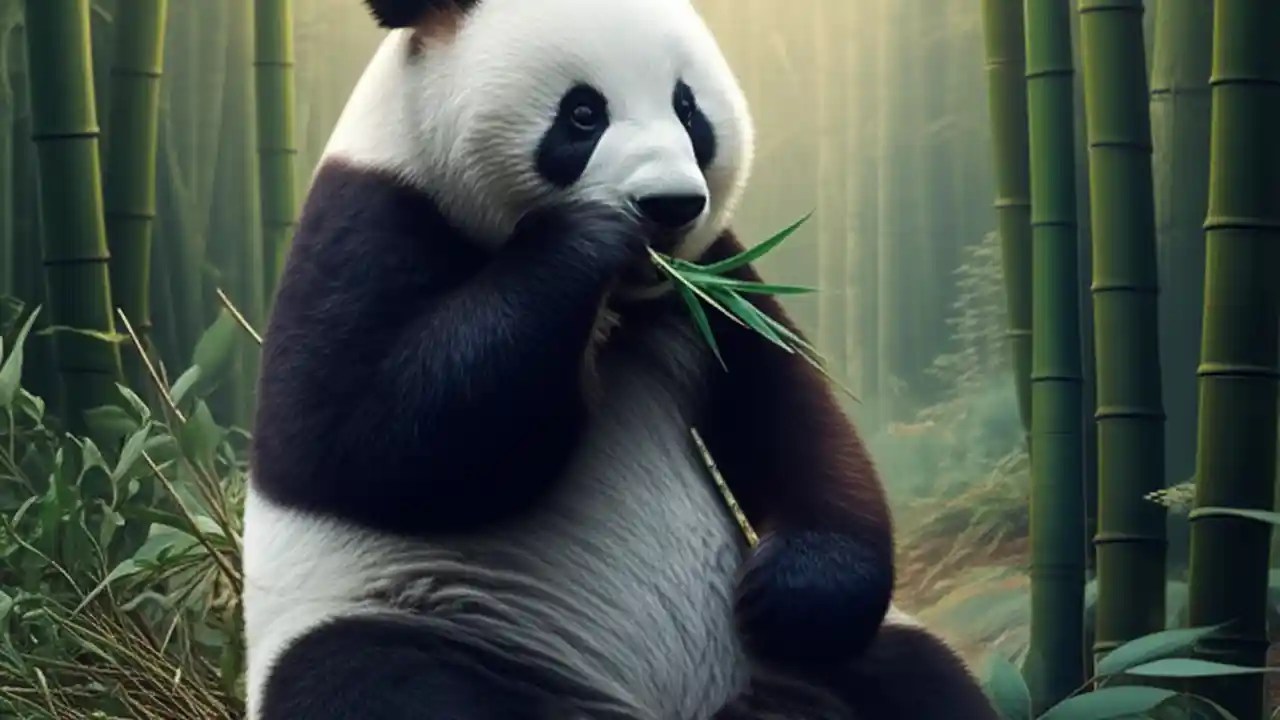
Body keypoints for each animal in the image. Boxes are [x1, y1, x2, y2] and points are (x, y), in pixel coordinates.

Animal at [242, 0, 1000, 718]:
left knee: (916, 672)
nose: (670, 204)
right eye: (582, 113)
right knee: (370, 683)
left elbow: (790, 414)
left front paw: (785, 593)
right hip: (417, 619)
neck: (627, 296)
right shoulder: (367, 216)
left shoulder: (713, 275)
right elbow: (364, 439)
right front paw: (589, 238)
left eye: (689, 109)